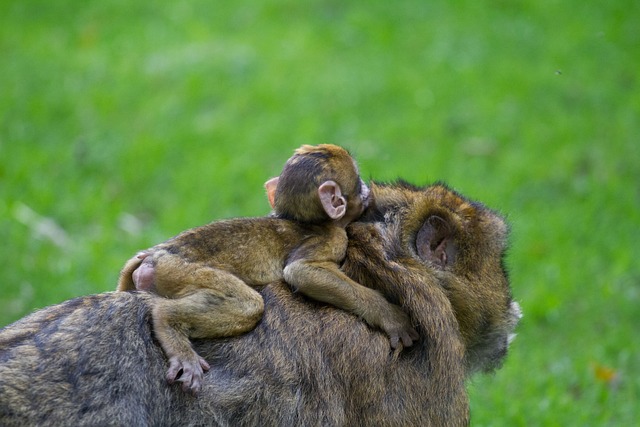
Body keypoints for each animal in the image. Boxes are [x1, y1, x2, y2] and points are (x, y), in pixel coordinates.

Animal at [0, 181, 520, 426]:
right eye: (498, 263)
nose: (512, 308)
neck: (376, 262)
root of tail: (151, 259)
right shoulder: (423, 387)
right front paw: (390, 316)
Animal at [117, 144, 419, 394]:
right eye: (358, 183)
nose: (367, 189)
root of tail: (152, 256)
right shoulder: (332, 238)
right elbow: (301, 272)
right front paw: (389, 314)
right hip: (177, 270)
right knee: (248, 304)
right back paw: (168, 322)